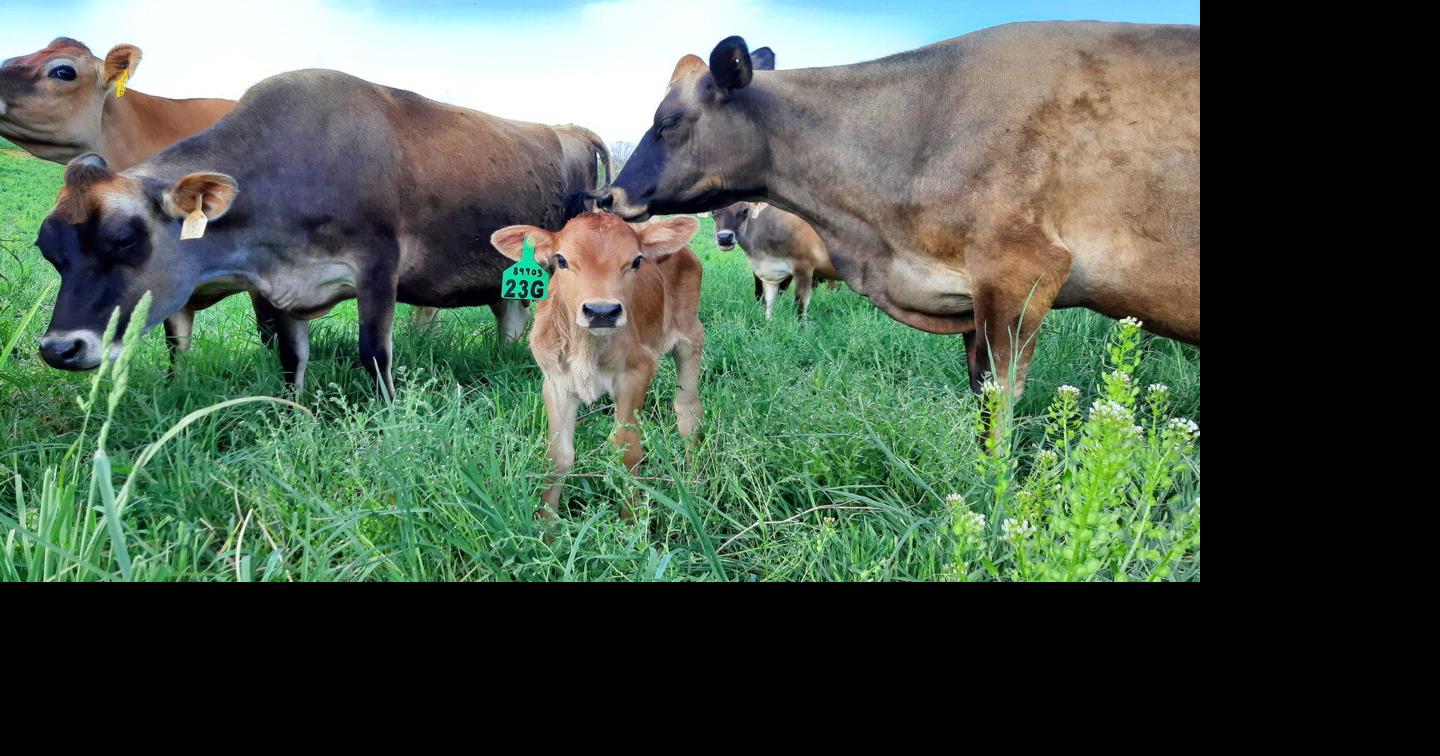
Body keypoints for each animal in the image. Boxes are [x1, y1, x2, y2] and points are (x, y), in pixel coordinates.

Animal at [33, 68, 606, 398]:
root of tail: (570, 128)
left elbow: (373, 351)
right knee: (510, 318)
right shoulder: (281, 284)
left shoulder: (378, 266)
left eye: (126, 239)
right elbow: (291, 358)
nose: (59, 349)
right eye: (50, 253)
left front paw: (387, 413)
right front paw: (293, 414)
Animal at [490, 213, 704, 522]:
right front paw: (546, 525)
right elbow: (558, 455)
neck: (585, 348)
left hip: (691, 338)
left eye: (636, 260)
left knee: (688, 410)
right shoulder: (555, 382)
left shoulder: (636, 373)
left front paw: (631, 520)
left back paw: (692, 483)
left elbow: (626, 448)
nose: (602, 312)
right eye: (561, 260)